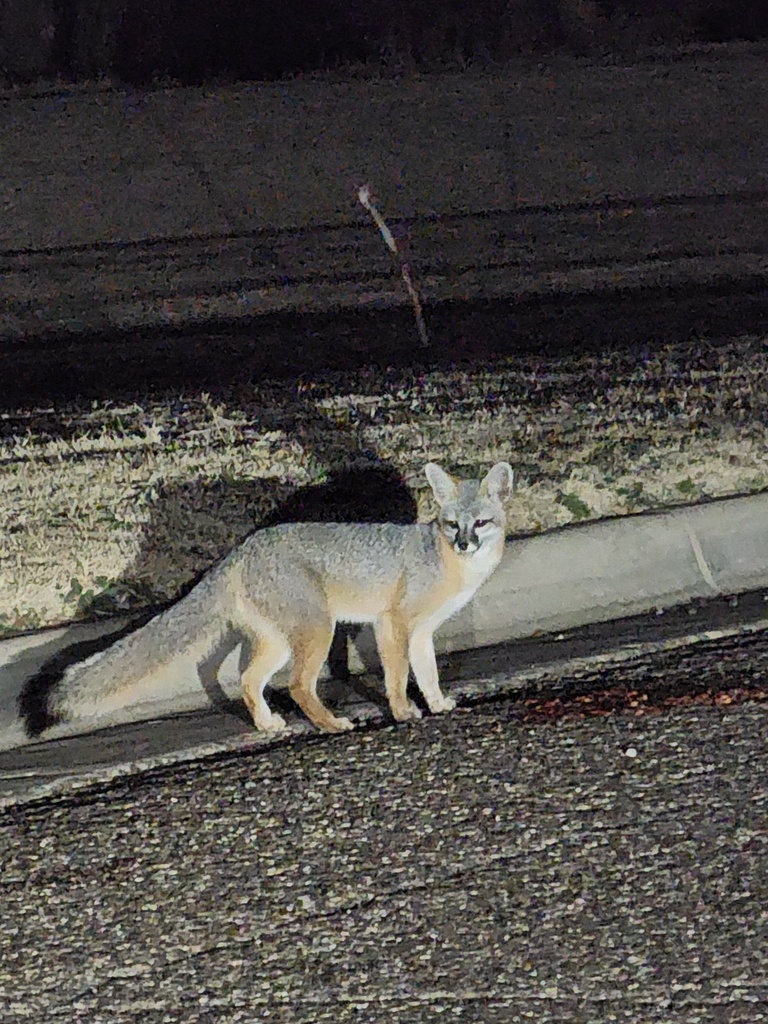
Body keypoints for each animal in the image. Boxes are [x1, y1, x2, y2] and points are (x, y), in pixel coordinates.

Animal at [33, 461, 513, 735]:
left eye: (481, 523)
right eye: (452, 525)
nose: (465, 544)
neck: (446, 561)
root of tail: (240, 549)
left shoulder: (421, 633)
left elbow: (427, 675)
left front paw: (437, 704)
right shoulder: (392, 623)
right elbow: (397, 677)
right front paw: (402, 712)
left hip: (281, 641)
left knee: (248, 680)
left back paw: (267, 724)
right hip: (318, 631)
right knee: (298, 685)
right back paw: (330, 723)